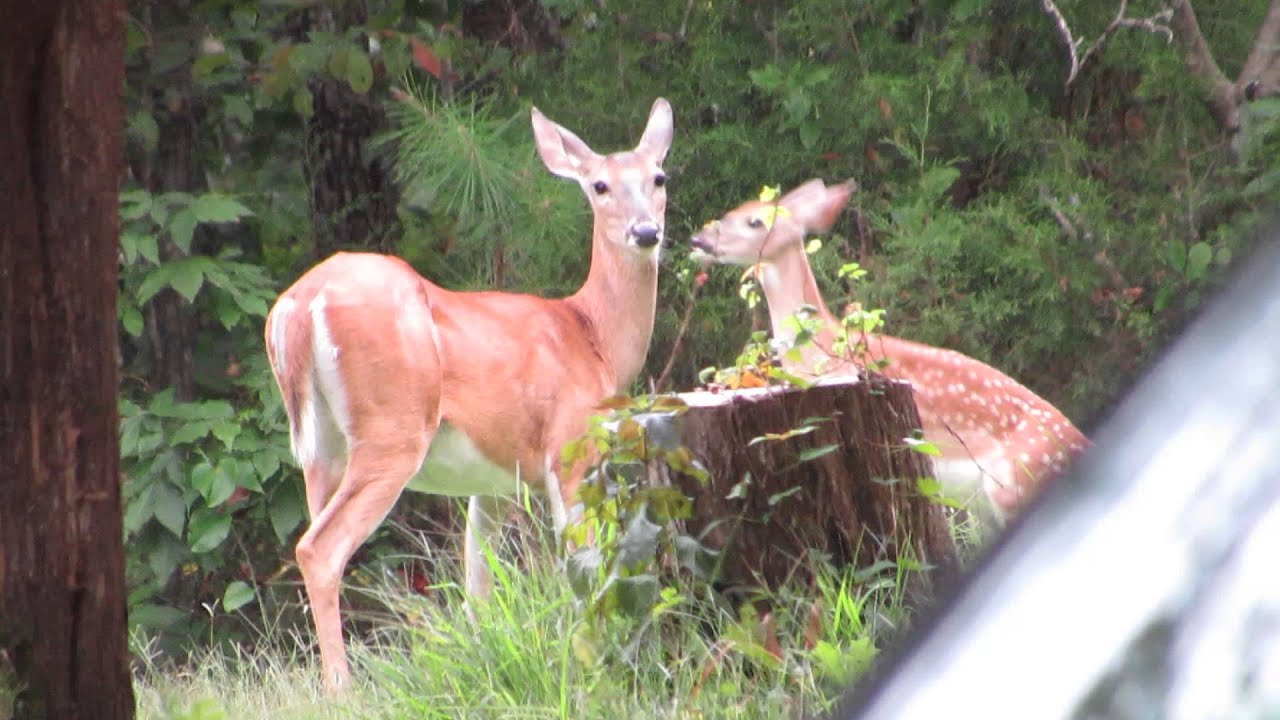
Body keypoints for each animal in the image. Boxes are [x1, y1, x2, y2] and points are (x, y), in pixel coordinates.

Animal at [263, 98, 674, 692]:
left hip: (321, 448)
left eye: (659, 178)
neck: (593, 337)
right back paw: (341, 690)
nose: (646, 232)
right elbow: (581, 567)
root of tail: (299, 306)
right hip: (393, 428)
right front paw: (593, 664)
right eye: (599, 185)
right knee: (320, 548)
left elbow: (478, 587)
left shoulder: (494, 483)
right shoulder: (568, 447)